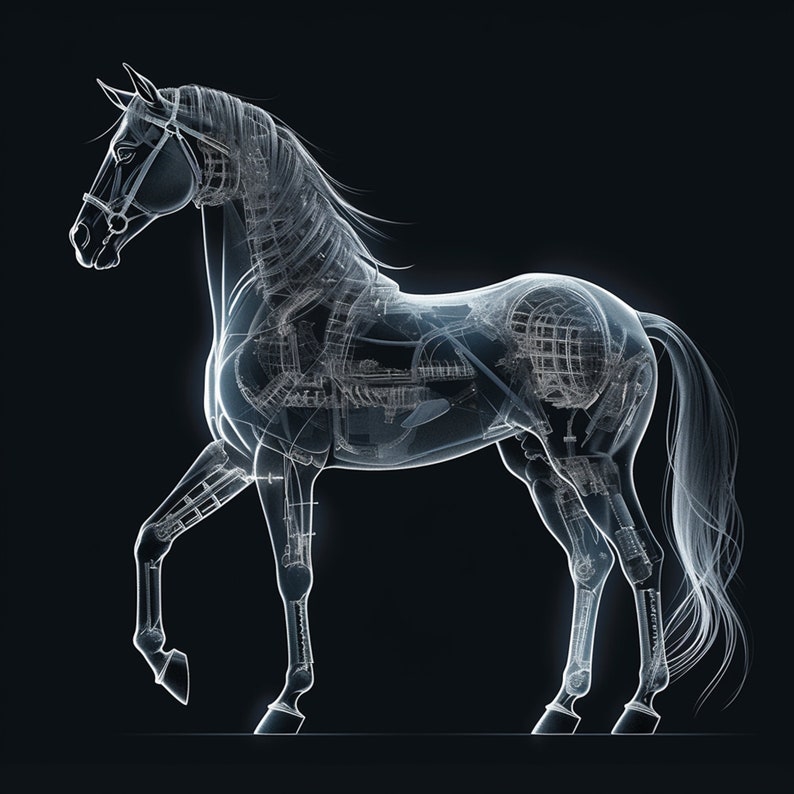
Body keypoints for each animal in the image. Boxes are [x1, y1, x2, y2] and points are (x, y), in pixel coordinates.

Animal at [69, 64, 747, 735]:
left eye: (127, 150)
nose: (87, 239)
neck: (283, 302)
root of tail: (632, 318)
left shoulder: (284, 463)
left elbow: (293, 576)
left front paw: (286, 702)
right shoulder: (235, 456)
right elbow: (152, 535)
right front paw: (168, 663)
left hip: (593, 462)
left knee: (642, 560)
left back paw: (641, 704)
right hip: (542, 469)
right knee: (591, 563)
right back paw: (562, 705)